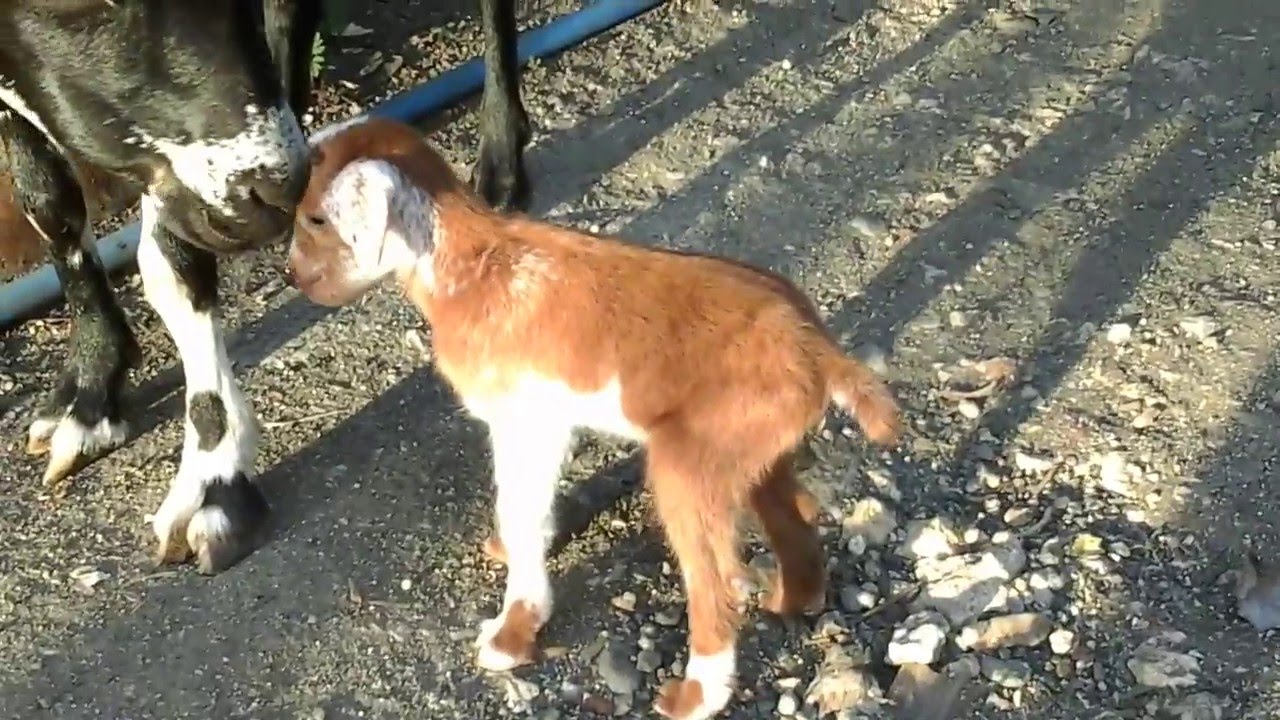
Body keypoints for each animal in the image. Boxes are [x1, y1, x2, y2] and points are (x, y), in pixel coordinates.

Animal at [0, 0, 533, 574]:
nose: (279, 186)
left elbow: (173, 259)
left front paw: (213, 476)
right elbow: (46, 201)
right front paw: (92, 387)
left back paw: (501, 156)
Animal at [285, 117, 903, 720]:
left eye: (317, 218)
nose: (294, 276)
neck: (474, 267)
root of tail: (815, 346)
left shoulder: (524, 423)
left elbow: (521, 514)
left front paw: (512, 633)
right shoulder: (548, 424)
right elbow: (527, 514)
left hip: (687, 467)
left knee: (718, 582)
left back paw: (696, 695)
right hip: (752, 450)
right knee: (793, 523)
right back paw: (791, 598)